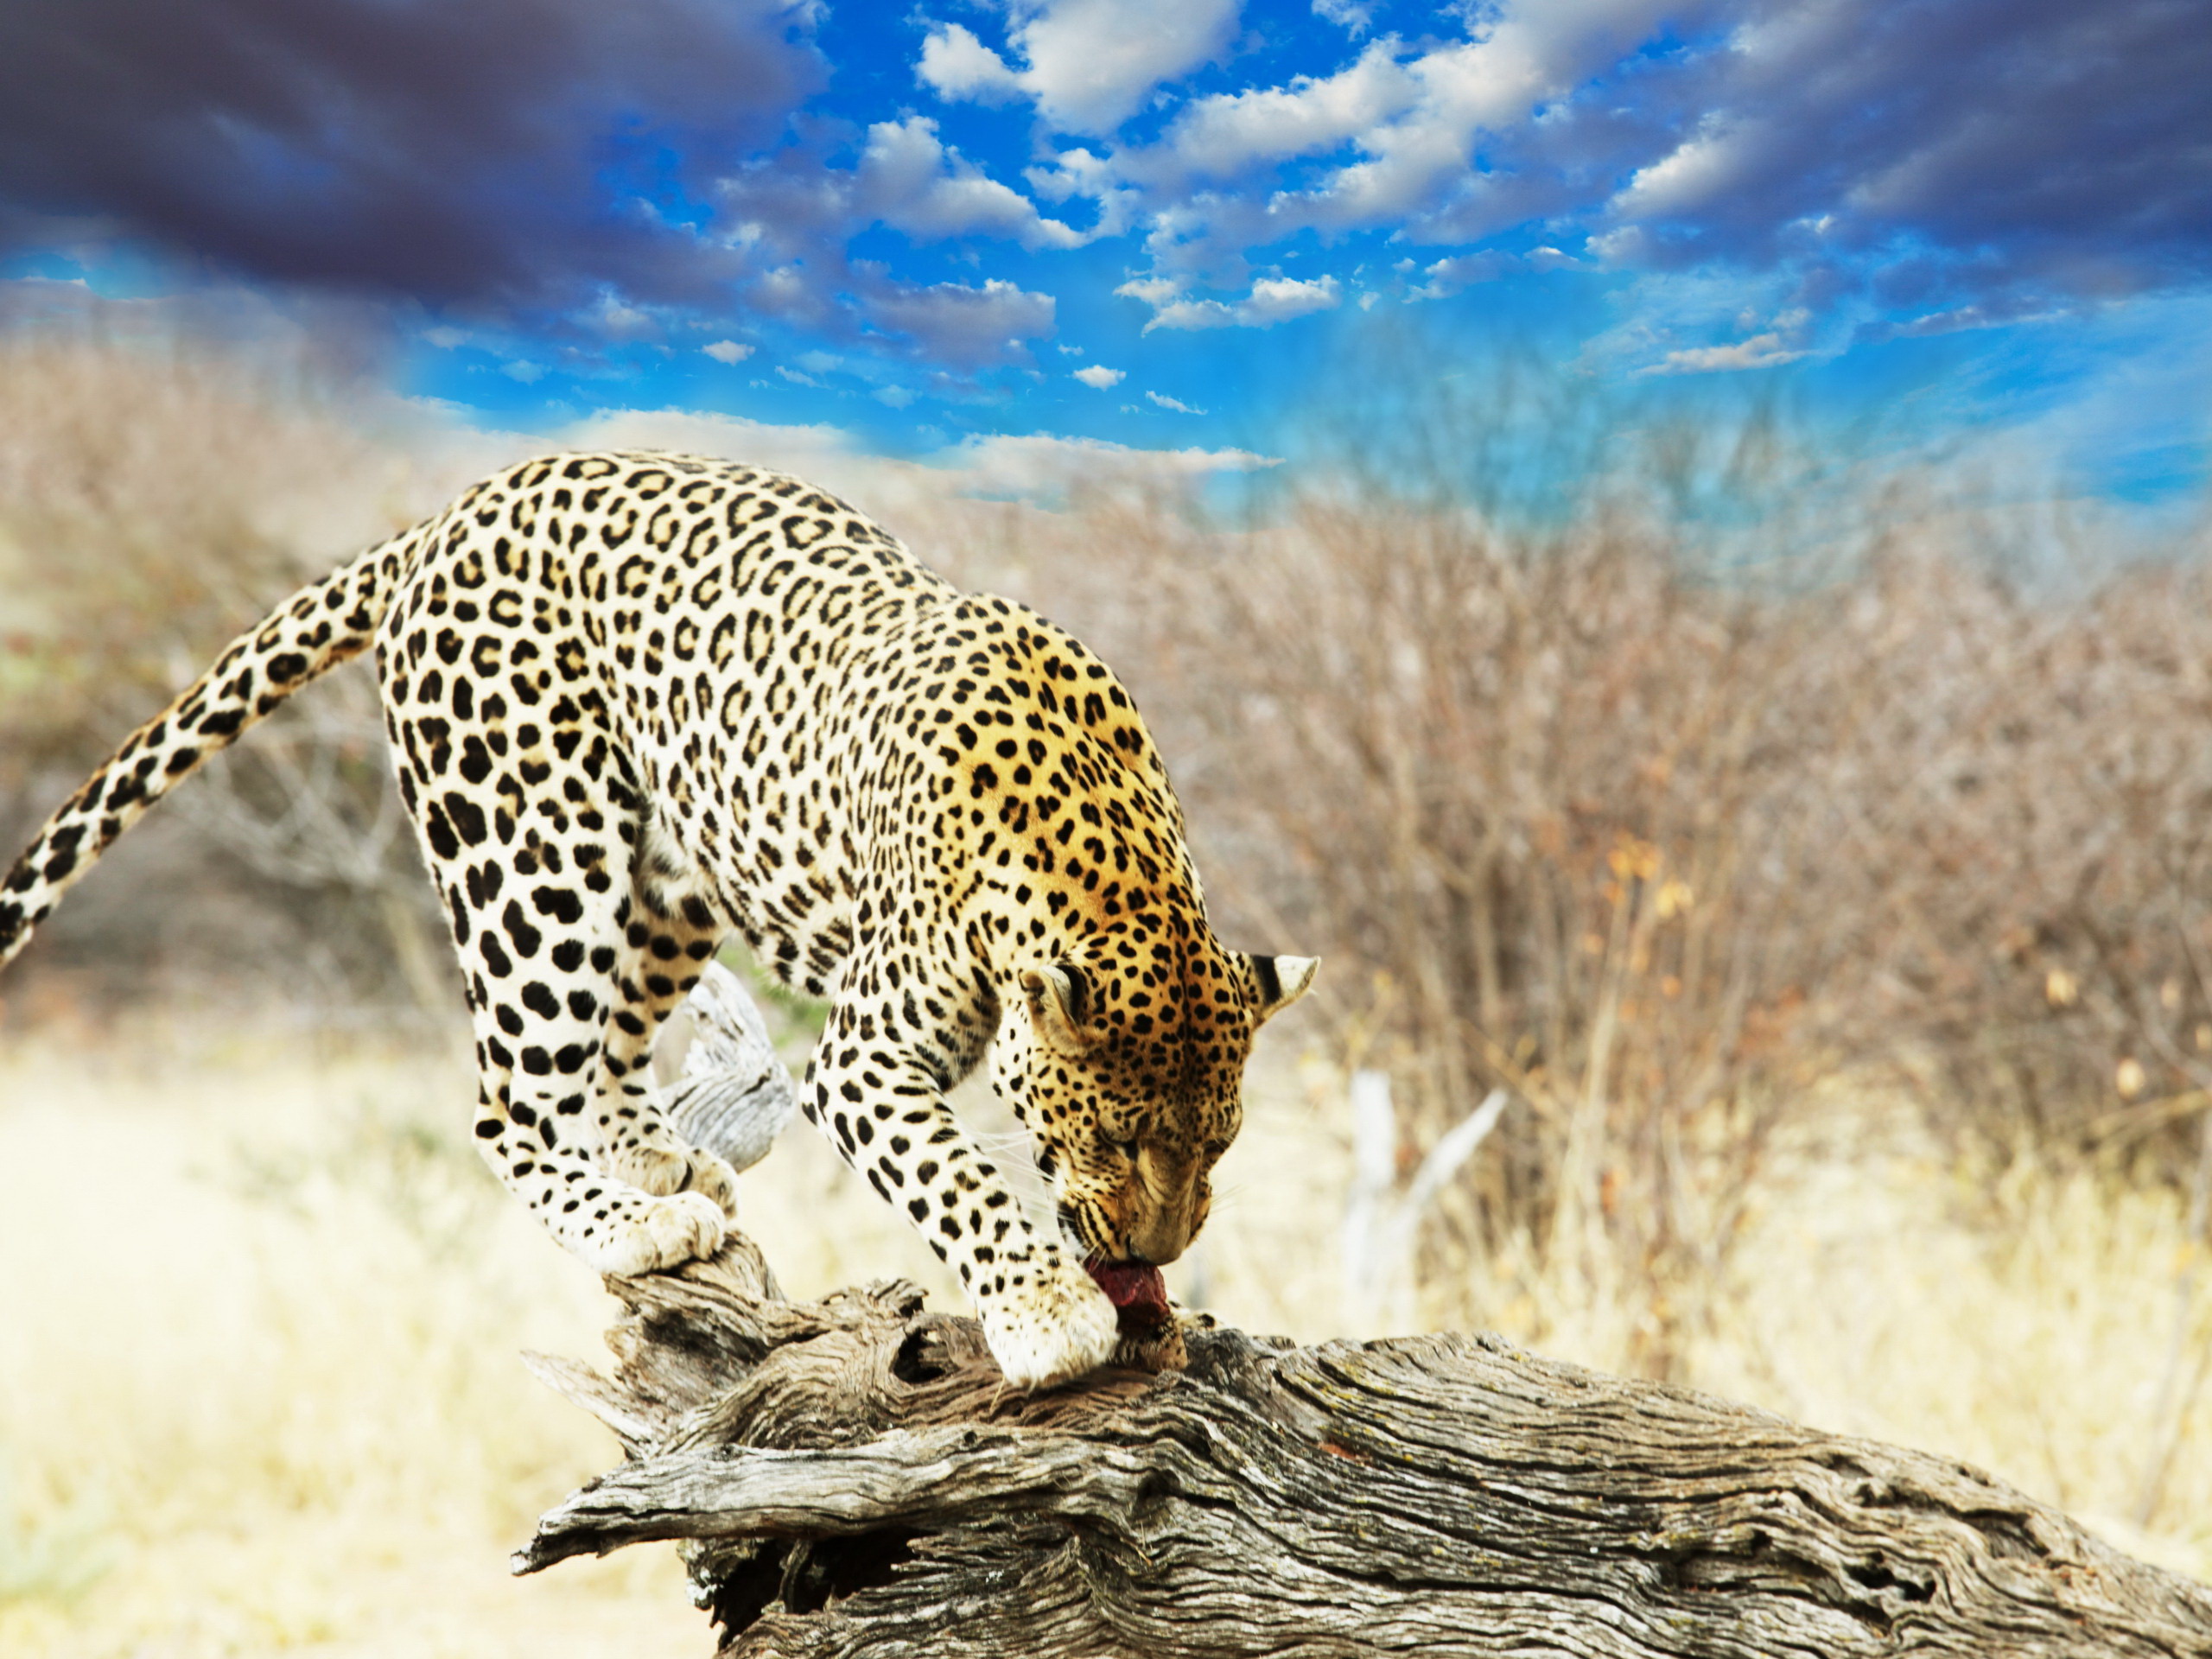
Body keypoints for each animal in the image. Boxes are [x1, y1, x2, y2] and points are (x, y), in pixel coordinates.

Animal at [0, 450, 1315, 1388]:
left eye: (1221, 1148)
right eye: (1115, 1140)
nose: (1154, 1254)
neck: (1102, 848)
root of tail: (451, 513)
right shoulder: (860, 1058)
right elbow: (957, 1176)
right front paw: (1048, 1313)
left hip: (672, 879)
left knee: (605, 1044)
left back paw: (651, 1152)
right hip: (530, 852)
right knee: (508, 1095)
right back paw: (629, 1226)